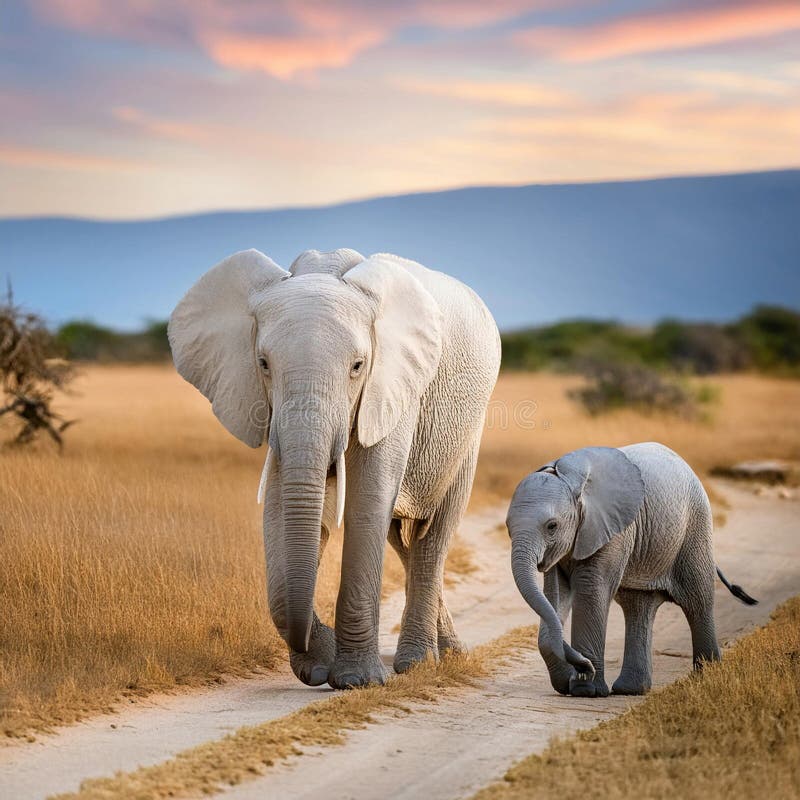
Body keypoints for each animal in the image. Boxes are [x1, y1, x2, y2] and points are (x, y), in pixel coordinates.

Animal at [169, 248, 500, 689]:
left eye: (357, 366)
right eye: (263, 364)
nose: (315, 652)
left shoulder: (392, 389)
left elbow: (368, 500)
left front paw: (357, 680)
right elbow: (286, 506)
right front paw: (319, 666)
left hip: (469, 431)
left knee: (434, 534)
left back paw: (419, 663)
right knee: (402, 539)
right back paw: (444, 654)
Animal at [506, 442, 757, 697]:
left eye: (552, 526)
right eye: (508, 527)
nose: (584, 666)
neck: (574, 484)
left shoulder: (611, 530)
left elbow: (591, 588)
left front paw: (586, 689)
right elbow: (555, 594)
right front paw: (571, 681)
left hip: (695, 525)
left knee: (697, 600)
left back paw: (704, 677)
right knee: (638, 606)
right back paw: (631, 689)